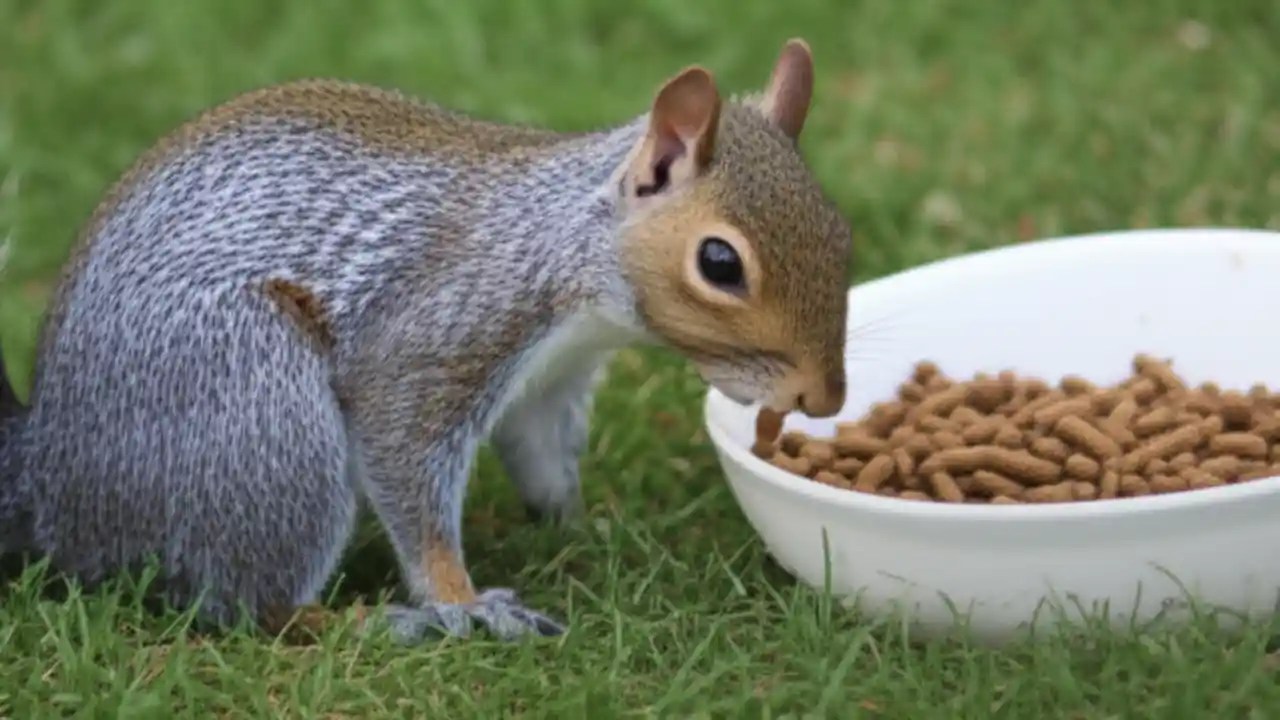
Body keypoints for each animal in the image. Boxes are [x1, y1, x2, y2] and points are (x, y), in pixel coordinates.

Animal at [0, 38, 852, 641]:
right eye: (720, 263)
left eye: (840, 228)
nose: (824, 397)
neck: (572, 262)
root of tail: (49, 485)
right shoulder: (438, 335)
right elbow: (405, 455)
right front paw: (462, 601)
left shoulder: (552, 382)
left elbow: (544, 461)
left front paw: (585, 524)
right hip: (257, 413)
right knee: (242, 603)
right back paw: (373, 621)